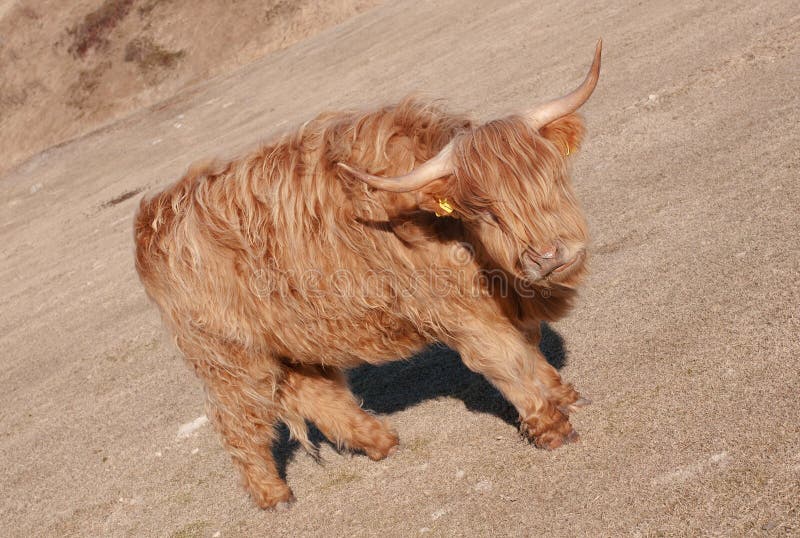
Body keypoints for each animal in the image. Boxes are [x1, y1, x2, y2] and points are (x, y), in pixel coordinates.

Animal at [134, 41, 602, 509]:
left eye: (550, 176)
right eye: (484, 209)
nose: (546, 255)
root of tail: (153, 218)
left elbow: (530, 349)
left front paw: (566, 396)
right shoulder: (456, 313)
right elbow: (505, 361)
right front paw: (551, 427)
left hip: (291, 336)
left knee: (311, 389)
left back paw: (379, 440)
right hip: (228, 357)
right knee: (237, 419)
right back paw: (274, 494)